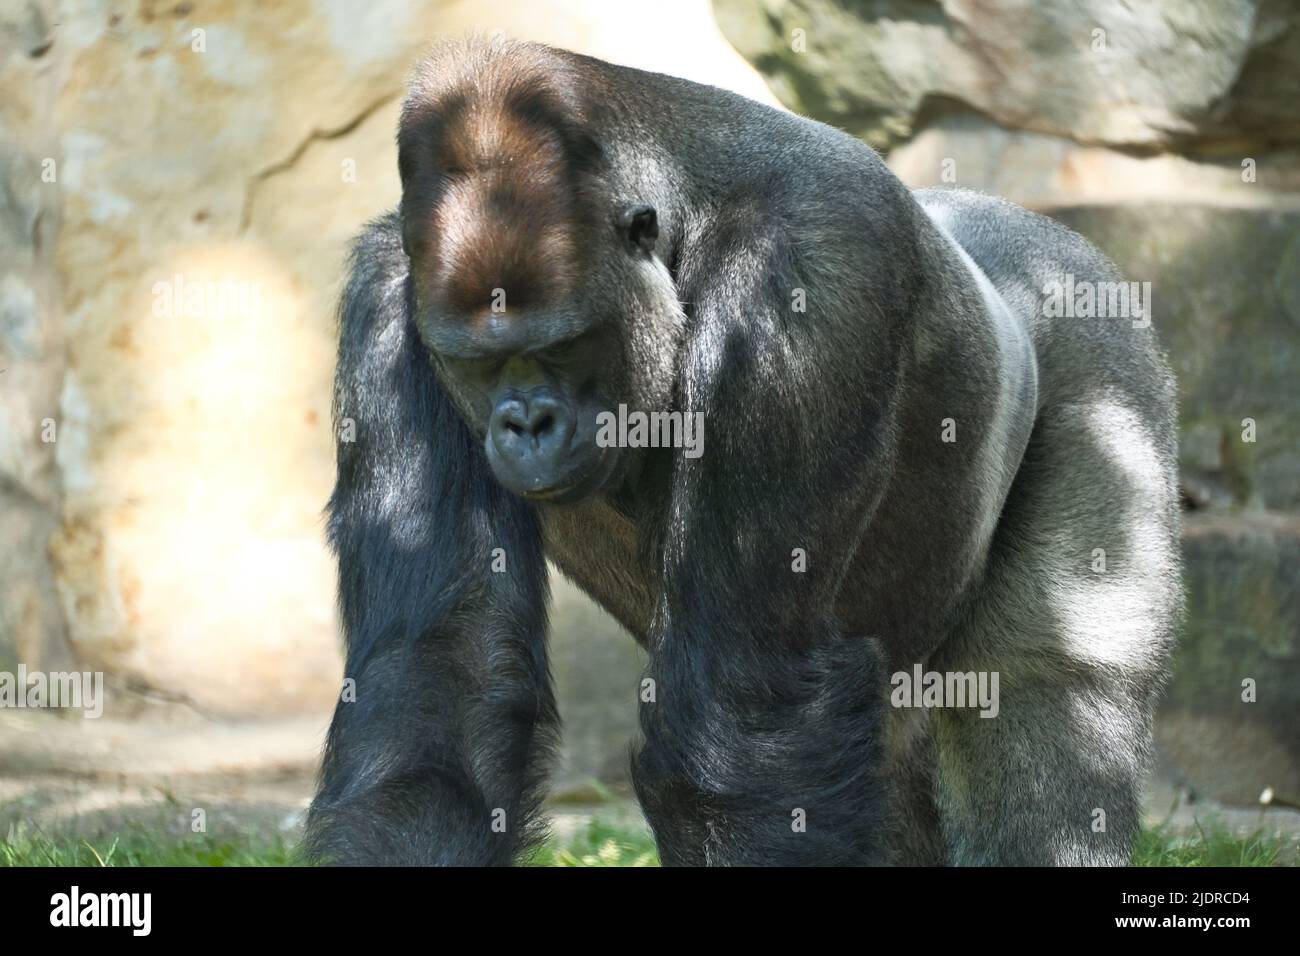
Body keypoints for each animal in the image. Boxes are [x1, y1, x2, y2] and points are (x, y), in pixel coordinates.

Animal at [303, 35, 1181, 866]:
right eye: (482, 364)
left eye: (563, 347)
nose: (527, 423)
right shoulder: (390, 298)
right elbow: (442, 676)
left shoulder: (809, 275)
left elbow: (744, 701)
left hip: (1095, 331)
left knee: (1052, 683)